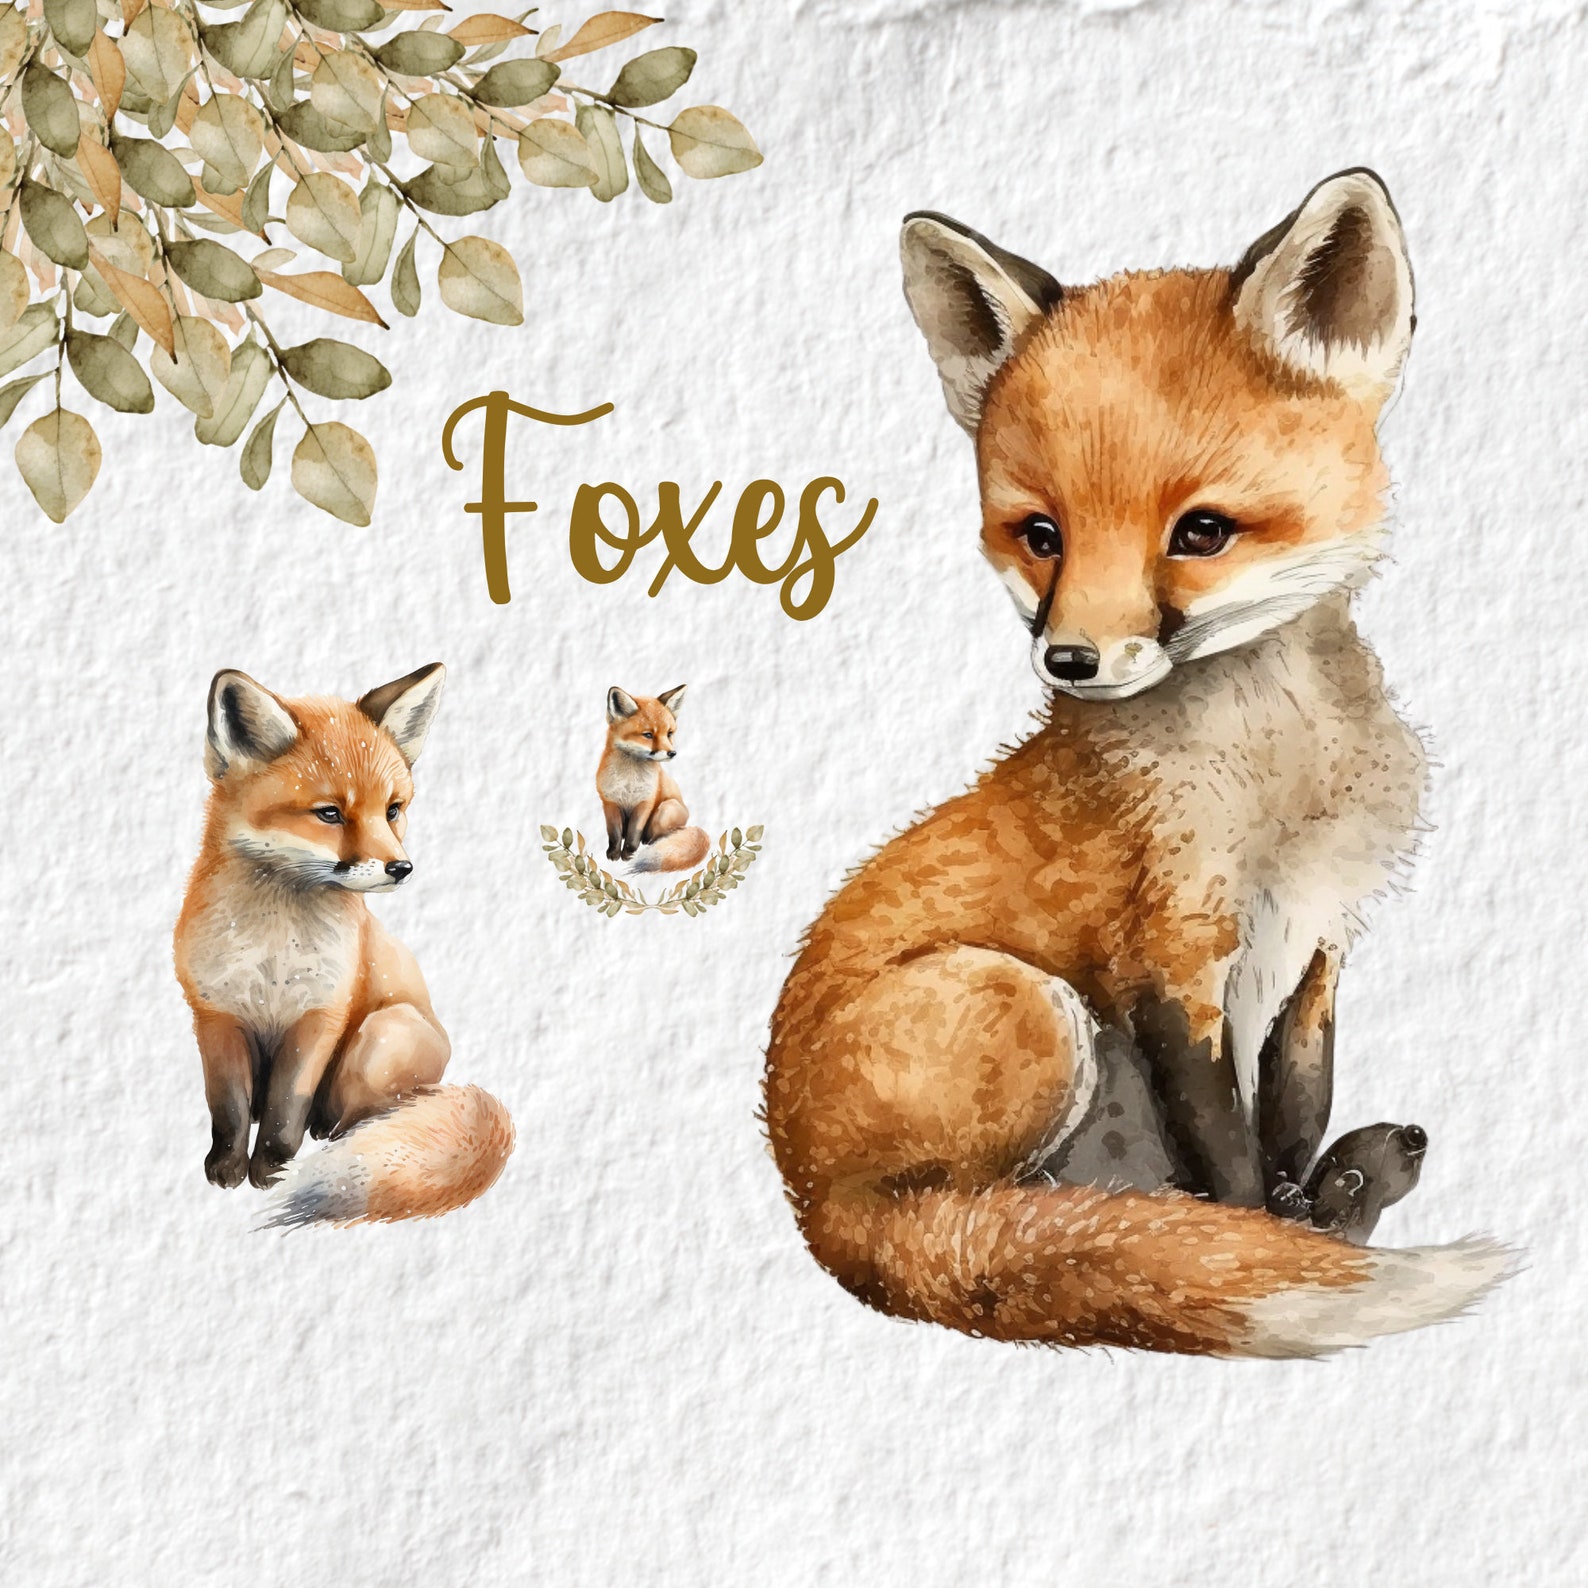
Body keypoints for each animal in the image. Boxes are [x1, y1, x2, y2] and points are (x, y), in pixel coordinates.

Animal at [173, 663, 513, 1227]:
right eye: (329, 814)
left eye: (393, 810)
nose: (402, 868)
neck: (274, 949)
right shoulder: (216, 1015)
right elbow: (228, 1109)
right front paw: (226, 1168)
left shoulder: (320, 1015)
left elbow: (286, 1111)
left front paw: (272, 1172)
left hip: (381, 1034)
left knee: (354, 1122)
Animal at [598, 685, 711, 873]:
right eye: (648, 735)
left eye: (669, 734)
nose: (672, 753)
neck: (629, 781)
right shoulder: (610, 802)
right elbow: (614, 834)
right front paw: (613, 854)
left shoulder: (645, 802)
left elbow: (633, 835)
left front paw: (629, 855)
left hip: (666, 808)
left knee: (659, 837)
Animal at [763, 170, 1510, 1357]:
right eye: (1041, 535)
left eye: (1201, 532)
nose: (1069, 660)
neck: (1275, 788)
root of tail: (814, 1212)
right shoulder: (1167, 954)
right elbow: (1227, 1154)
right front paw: (1262, 1241)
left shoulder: (1317, 942)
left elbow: (1292, 1109)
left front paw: (1302, 1209)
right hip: (1029, 1006)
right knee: (980, 1221)